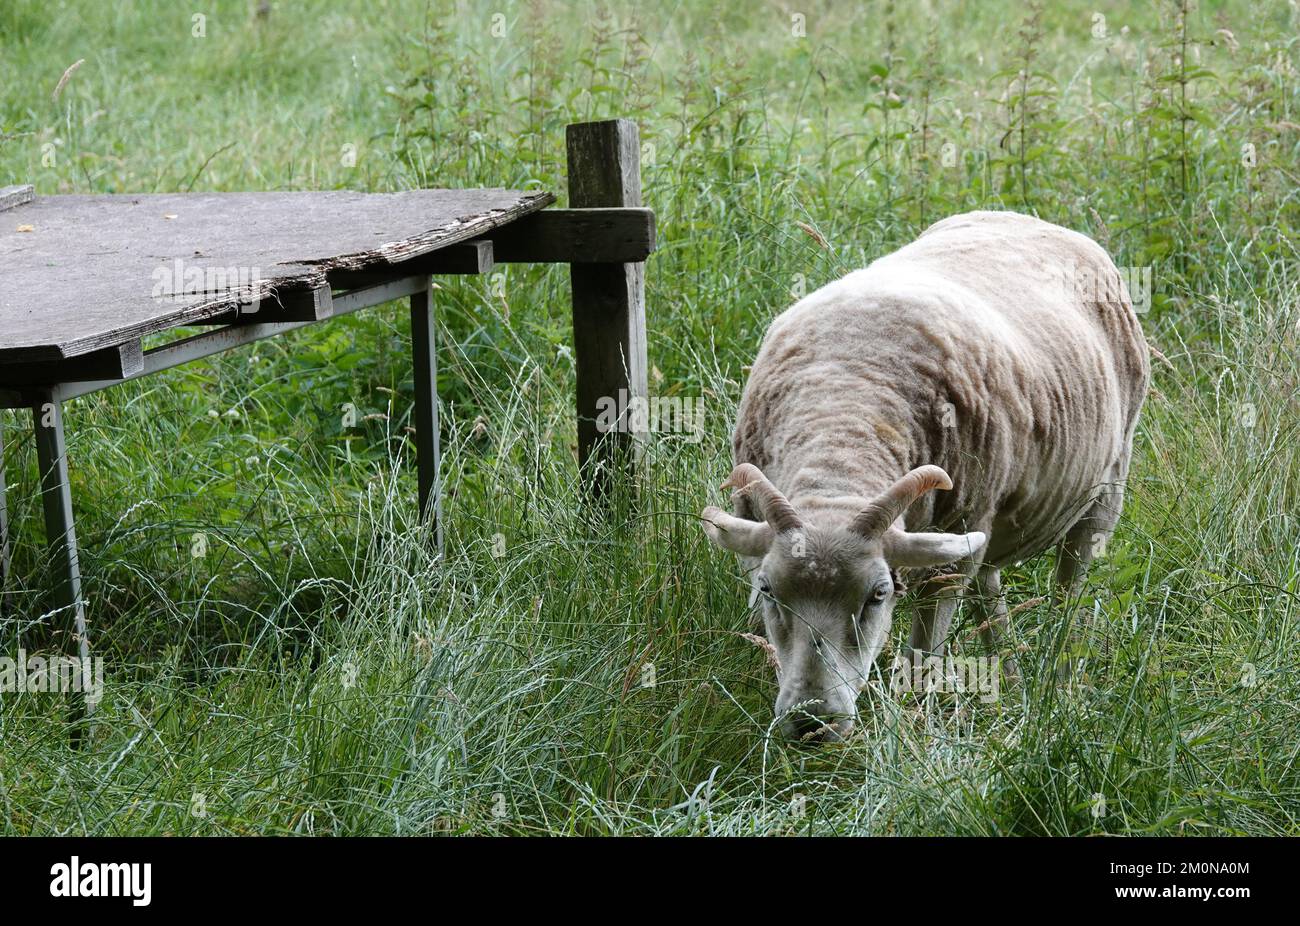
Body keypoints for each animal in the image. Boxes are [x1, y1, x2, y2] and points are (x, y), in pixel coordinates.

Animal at [701, 210, 1150, 743]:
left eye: (878, 595)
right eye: (769, 591)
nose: (812, 722)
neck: (843, 422)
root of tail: (1023, 216)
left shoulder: (945, 563)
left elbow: (921, 657)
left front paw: (911, 721)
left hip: (1102, 488)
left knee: (1070, 594)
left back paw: (1058, 688)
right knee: (990, 591)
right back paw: (1010, 678)